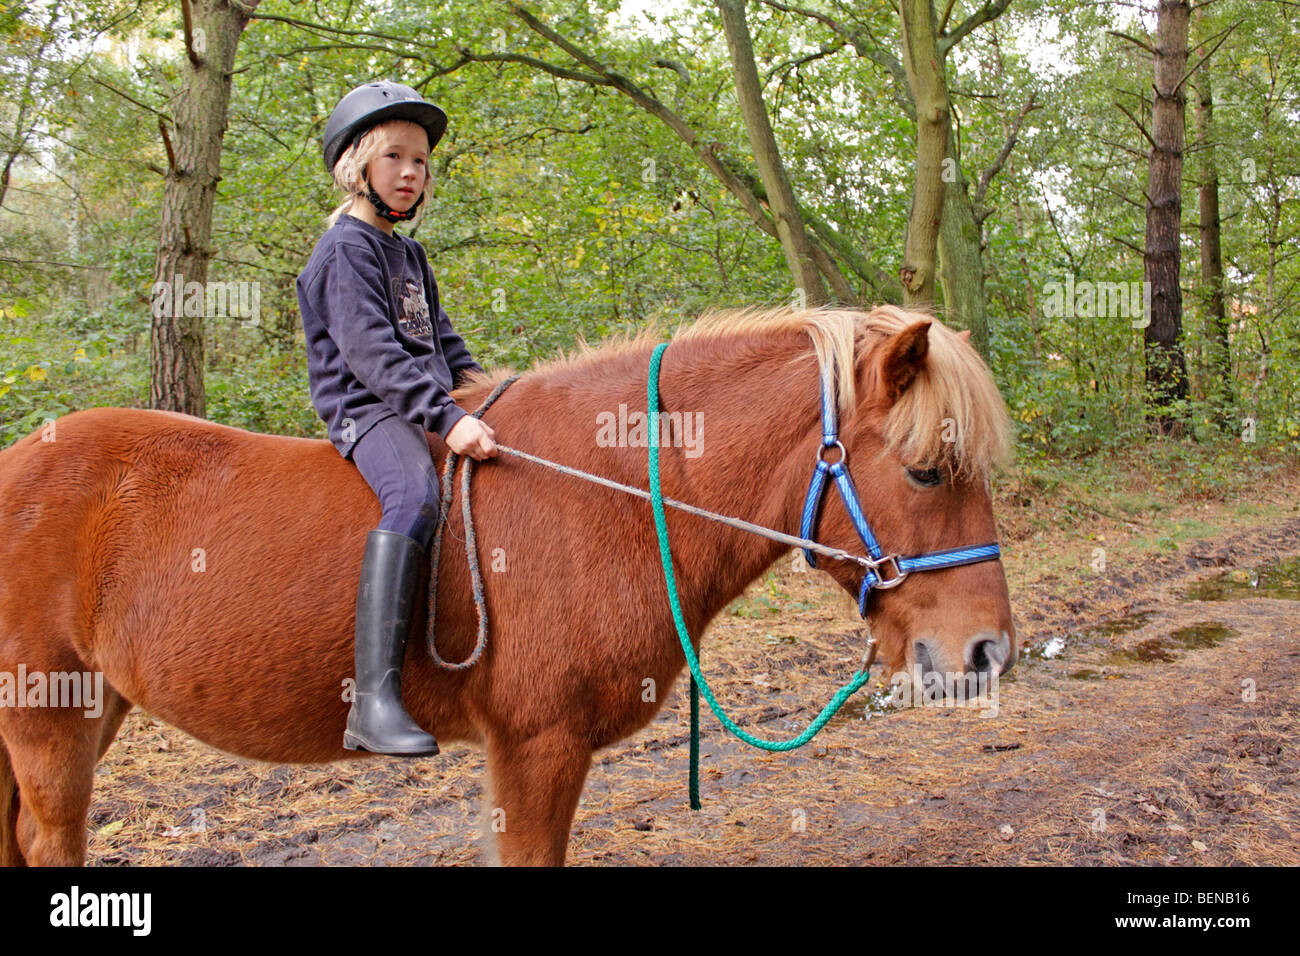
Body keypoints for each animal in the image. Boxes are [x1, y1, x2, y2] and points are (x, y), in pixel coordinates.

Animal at [0, 303, 1016, 866]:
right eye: (927, 472)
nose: (985, 653)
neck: (604, 489)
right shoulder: (537, 747)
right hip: (46, 716)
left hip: (91, 706)